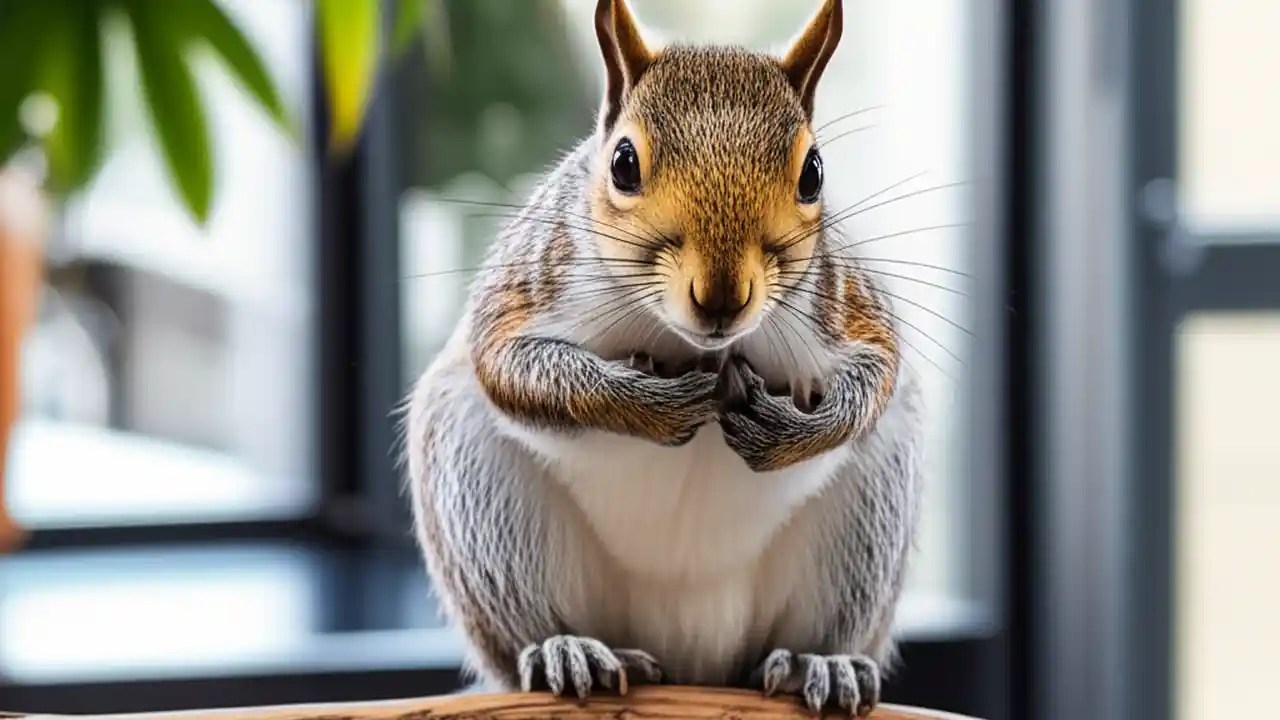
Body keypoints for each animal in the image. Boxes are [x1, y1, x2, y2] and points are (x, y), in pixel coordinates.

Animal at [405, 0, 922, 716]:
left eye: (813, 172)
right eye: (623, 163)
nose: (722, 296)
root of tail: (692, 657)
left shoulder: (842, 298)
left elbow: (879, 365)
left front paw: (792, 430)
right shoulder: (533, 277)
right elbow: (504, 363)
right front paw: (648, 403)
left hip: (867, 524)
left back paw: (820, 660)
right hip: (483, 500)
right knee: (525, 630)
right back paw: (569, 649)